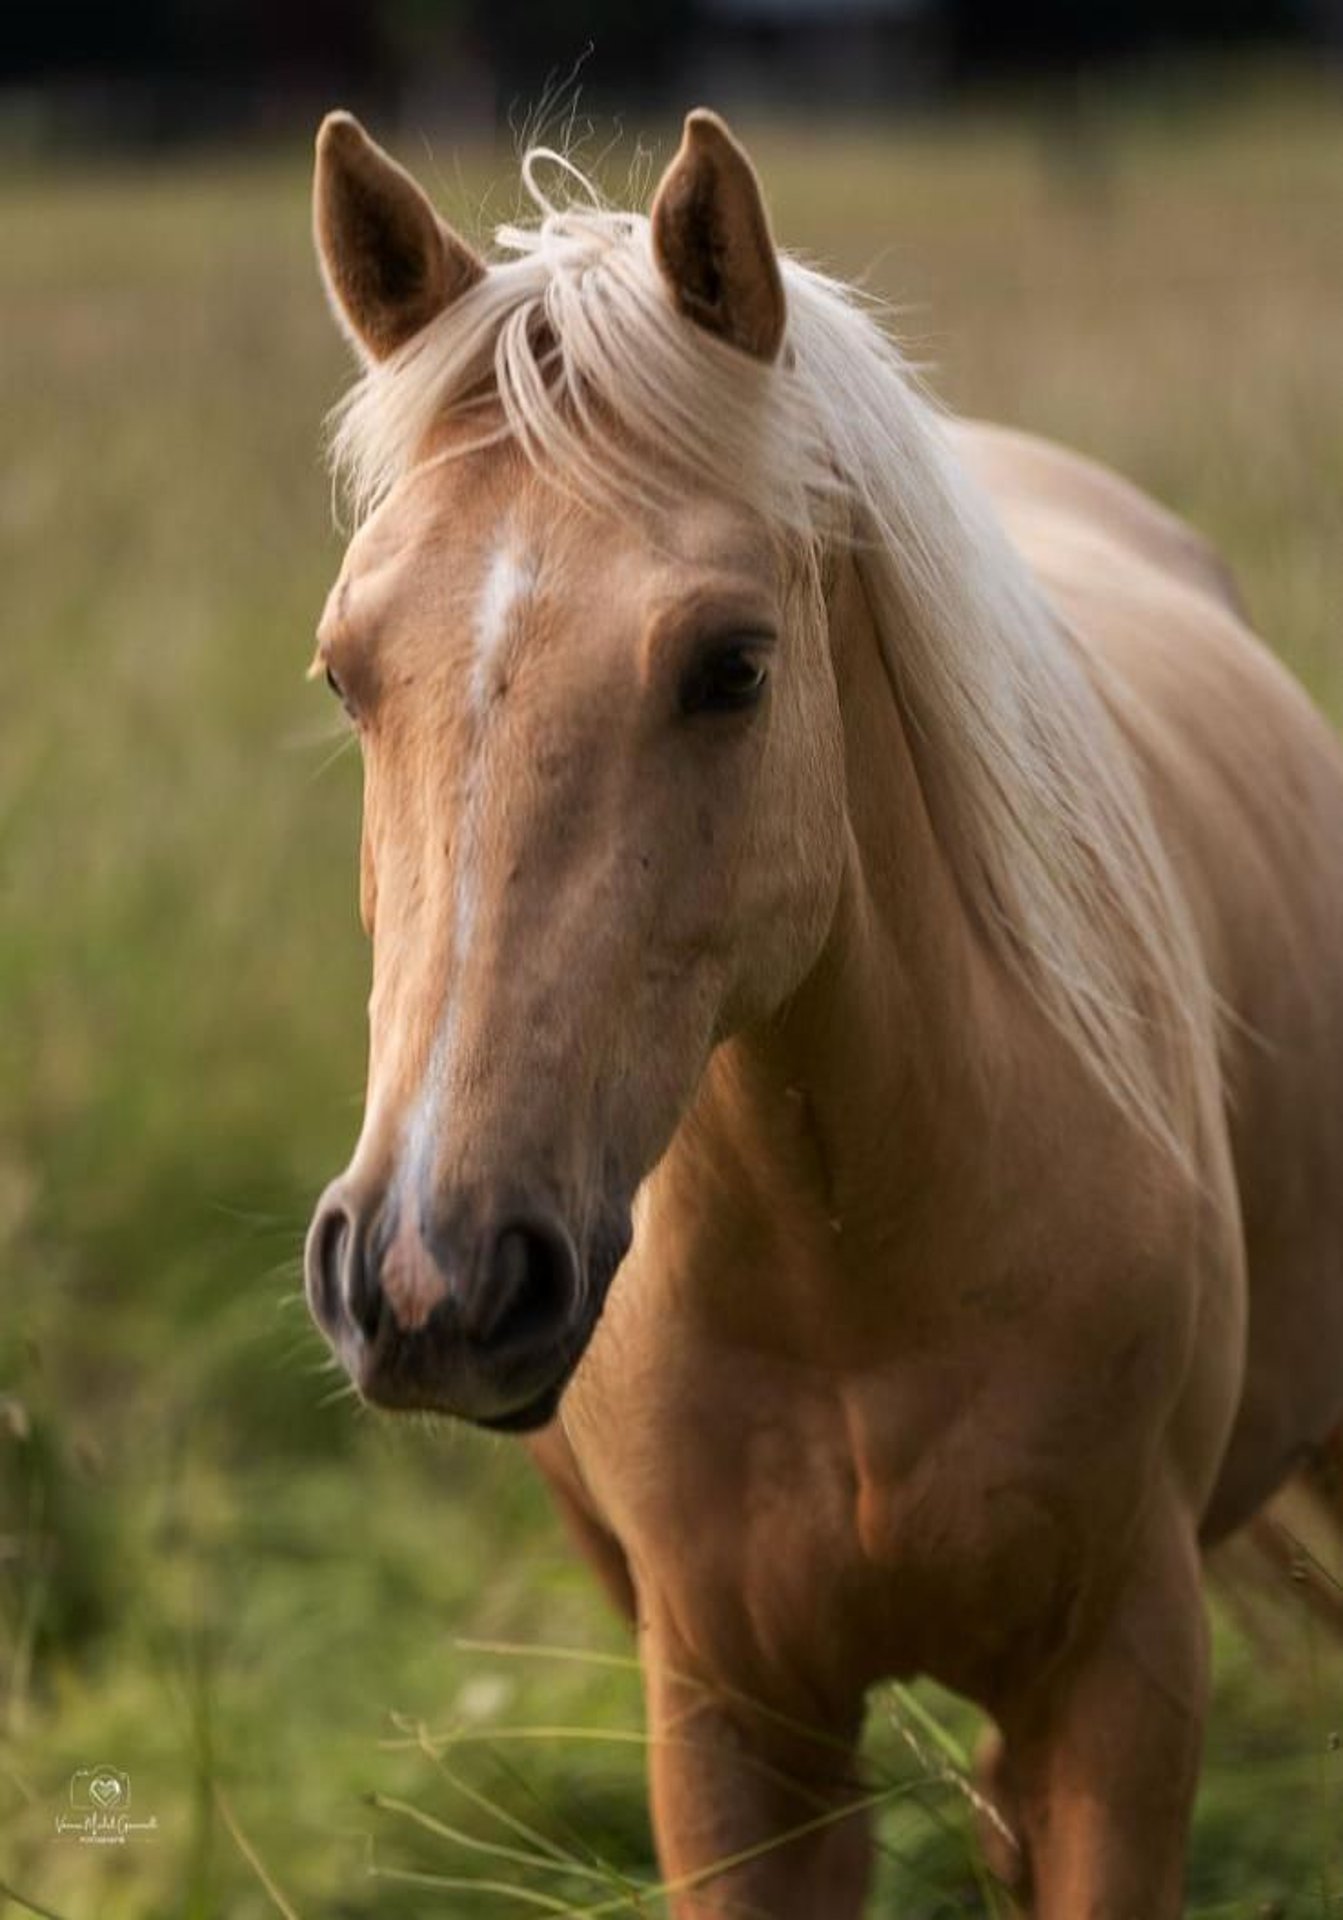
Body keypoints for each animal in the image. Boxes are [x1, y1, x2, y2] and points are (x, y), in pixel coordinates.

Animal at [301, 107, 1343, 1917]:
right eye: (343, 672)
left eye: (730, 664)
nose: (428, 1275)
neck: (854, 1258)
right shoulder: (734, 1724)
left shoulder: (1121, 1693)